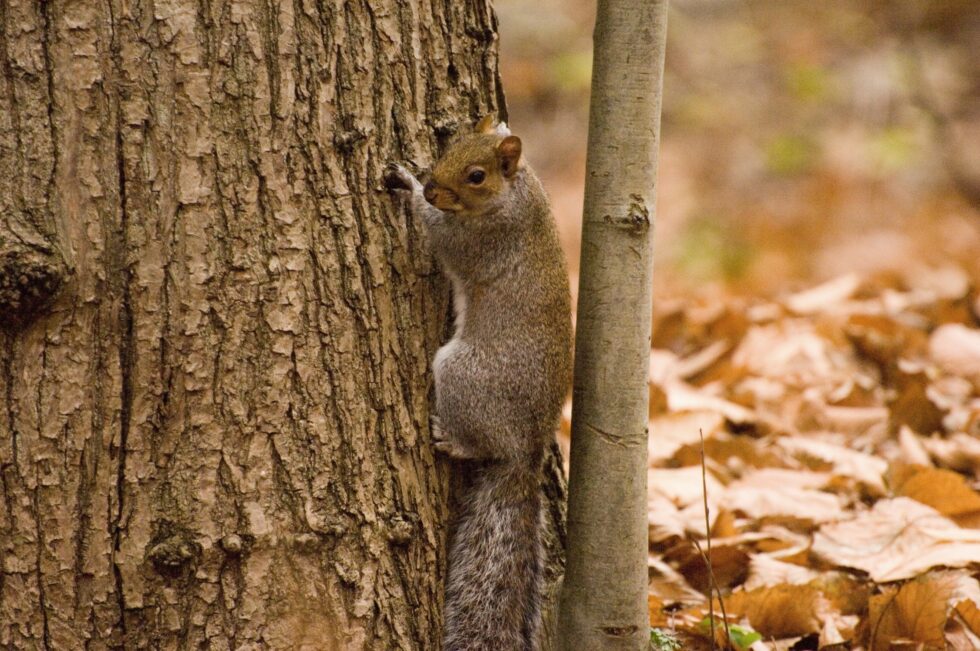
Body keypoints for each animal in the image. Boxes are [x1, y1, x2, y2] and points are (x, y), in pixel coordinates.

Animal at [384, 116, 572, 651]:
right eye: (450, 145)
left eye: (476, 176)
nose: (432, 187)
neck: (518, 194)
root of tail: (528, 447)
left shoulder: (482, 238)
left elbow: (438, 233)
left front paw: (406, 185)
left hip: (461, 372)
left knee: (479, 443)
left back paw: (450, 437)